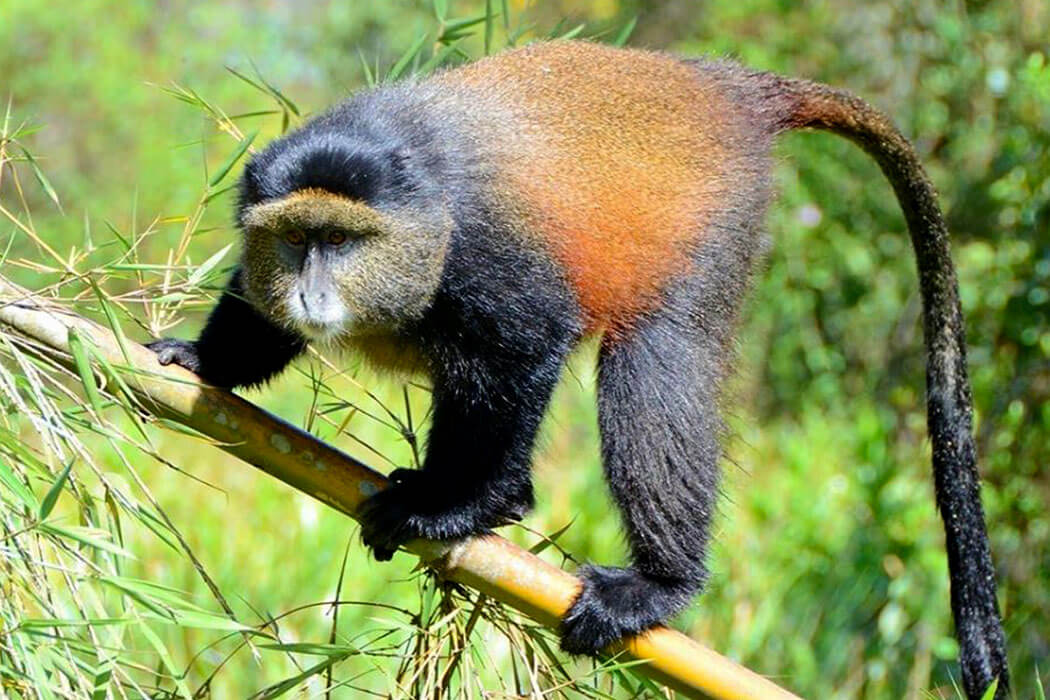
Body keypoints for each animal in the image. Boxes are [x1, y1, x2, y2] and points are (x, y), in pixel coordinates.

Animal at [146, 40, 1008, 698]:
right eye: (296, 239)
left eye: (342, 240)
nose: (312, 291)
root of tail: (727, 86)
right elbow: (257, 316)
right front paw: (198, 361)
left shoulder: (489, 256)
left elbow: (524, 349)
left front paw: (461, 508)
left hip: (708, 224)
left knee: (654, 362)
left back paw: (658, 582)